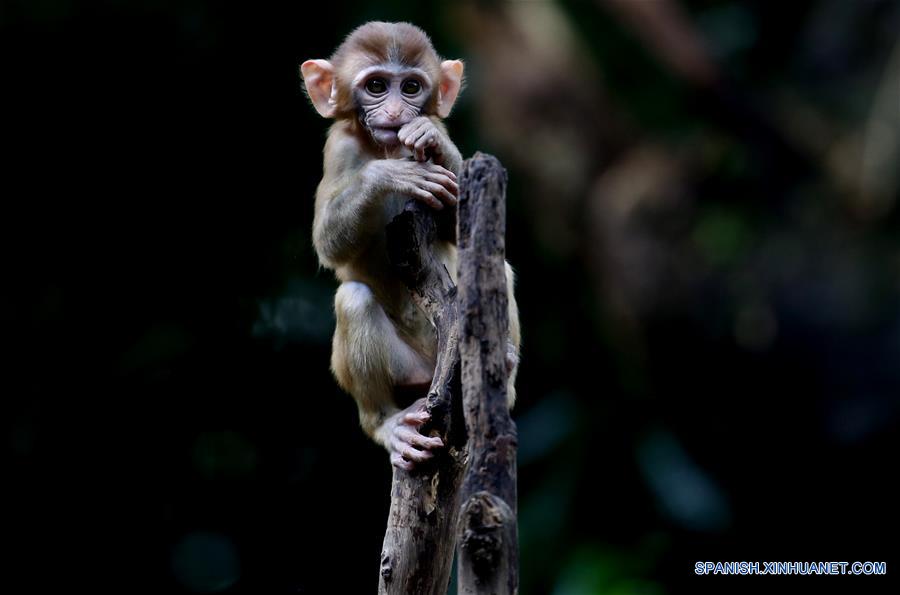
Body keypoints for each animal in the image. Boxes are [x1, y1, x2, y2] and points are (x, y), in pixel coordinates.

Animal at [301, 22, 520, 471]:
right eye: (377, 86)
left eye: (412, 87)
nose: (396, 112)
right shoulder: (338, 146)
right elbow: (328, 243)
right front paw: (388, 174)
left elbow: (459, 227)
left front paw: (428, 137)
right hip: (407, 371)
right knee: (353, 298)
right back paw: (389, 425)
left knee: (500, 268)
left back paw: (503, 368)